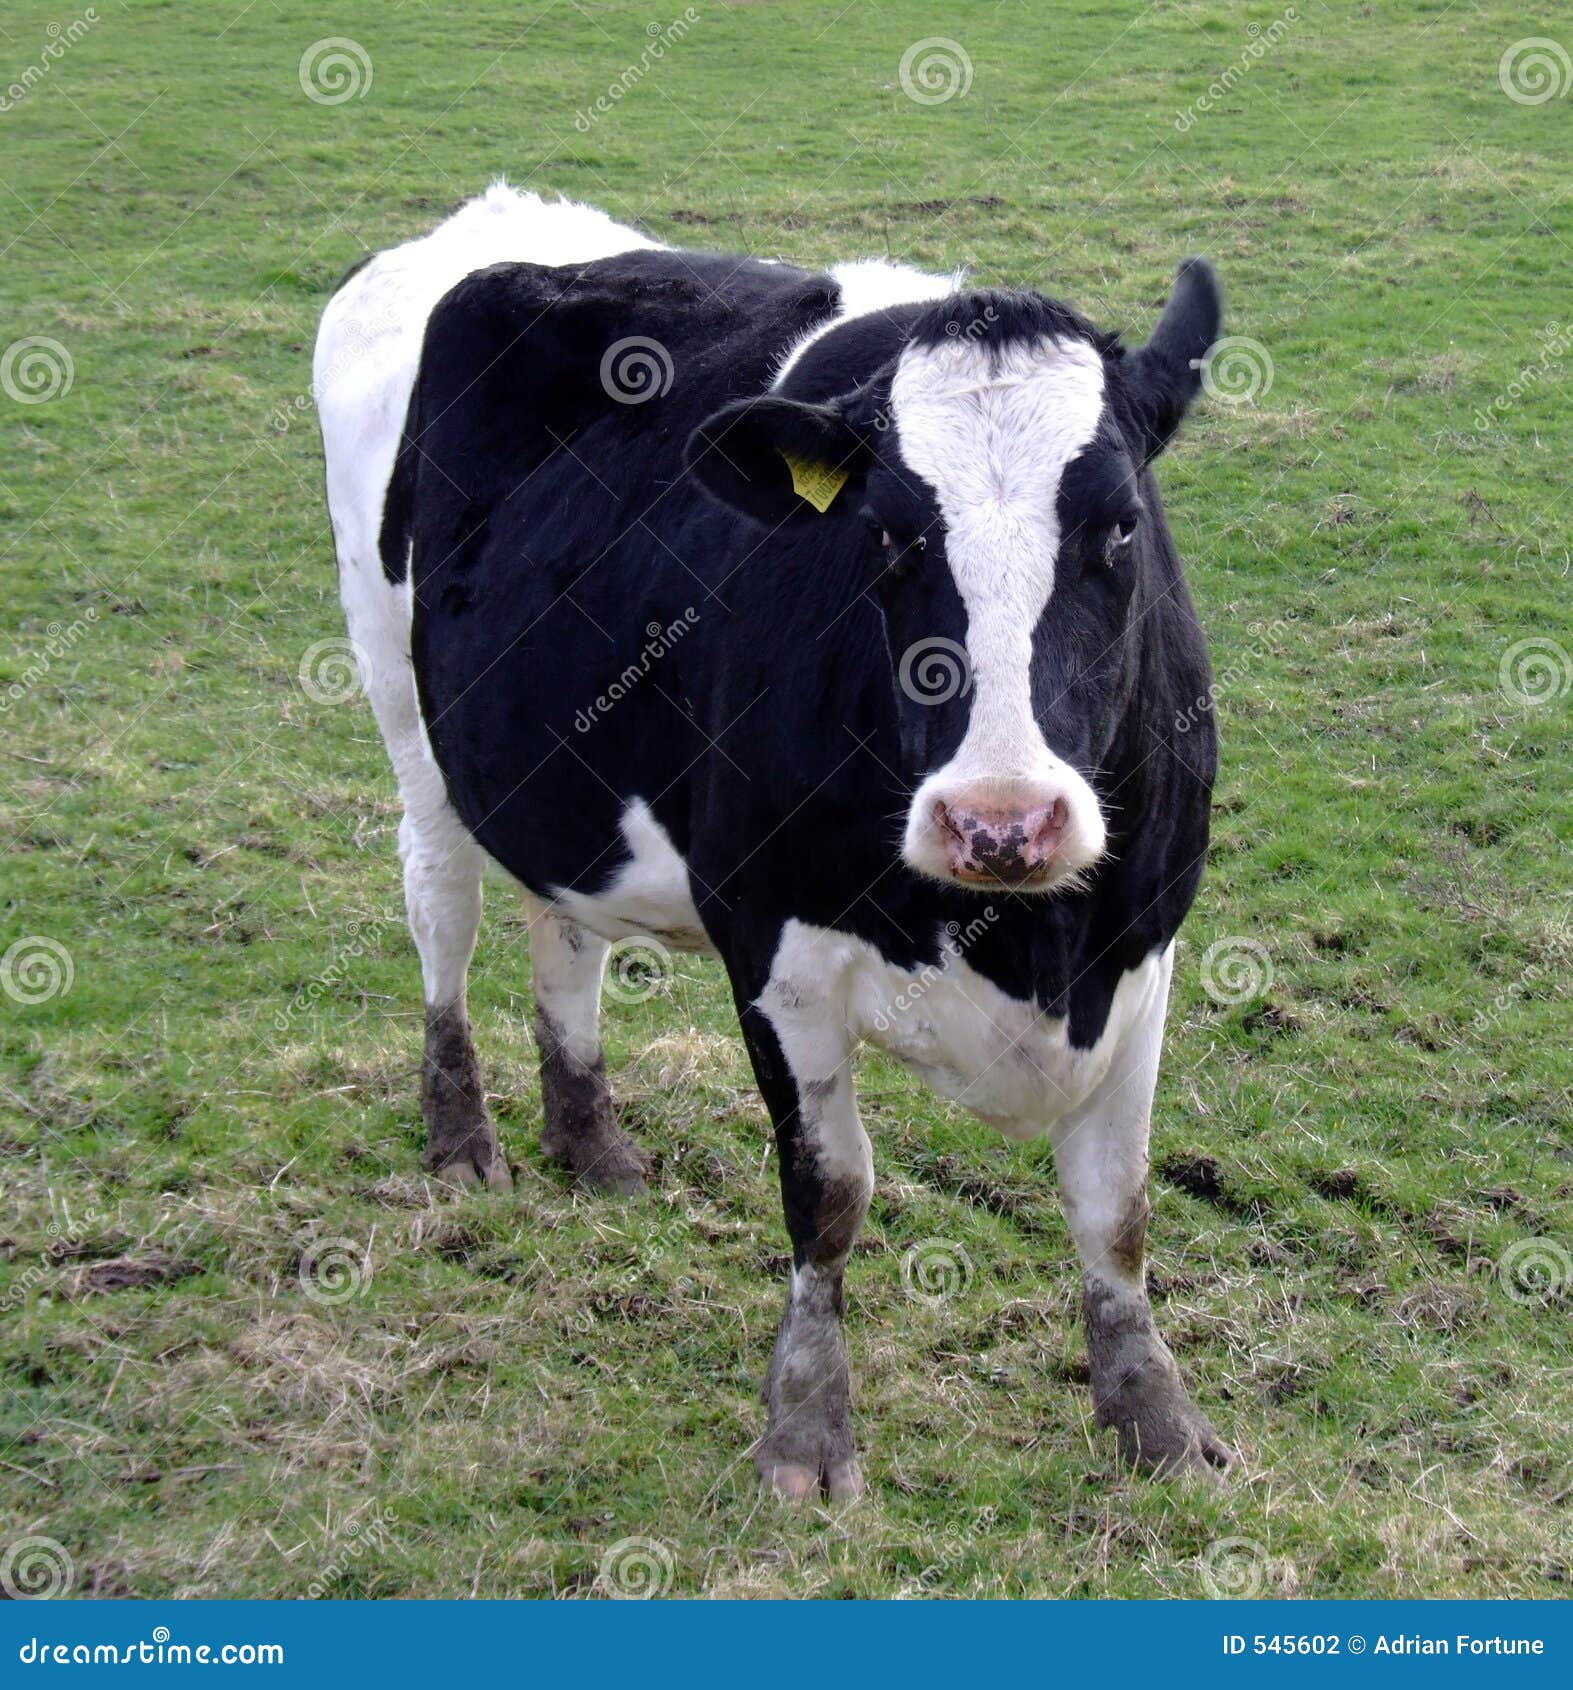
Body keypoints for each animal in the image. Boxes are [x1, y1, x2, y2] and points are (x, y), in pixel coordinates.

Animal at [314, 182, 1235, 1498]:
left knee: (562, 933)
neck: (1027, 946)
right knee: (443, 906)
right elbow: (830, 1189)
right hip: (406, 707)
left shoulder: (1143, 945)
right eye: (889, 535)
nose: (999, 820)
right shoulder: (770, 940)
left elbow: (1118, 1205)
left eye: (1117, 527)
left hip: (553, 760)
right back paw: (462, 1138)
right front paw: (806, 1431)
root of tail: (488, 217)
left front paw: (1156, 1419)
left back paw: (589, 1140)